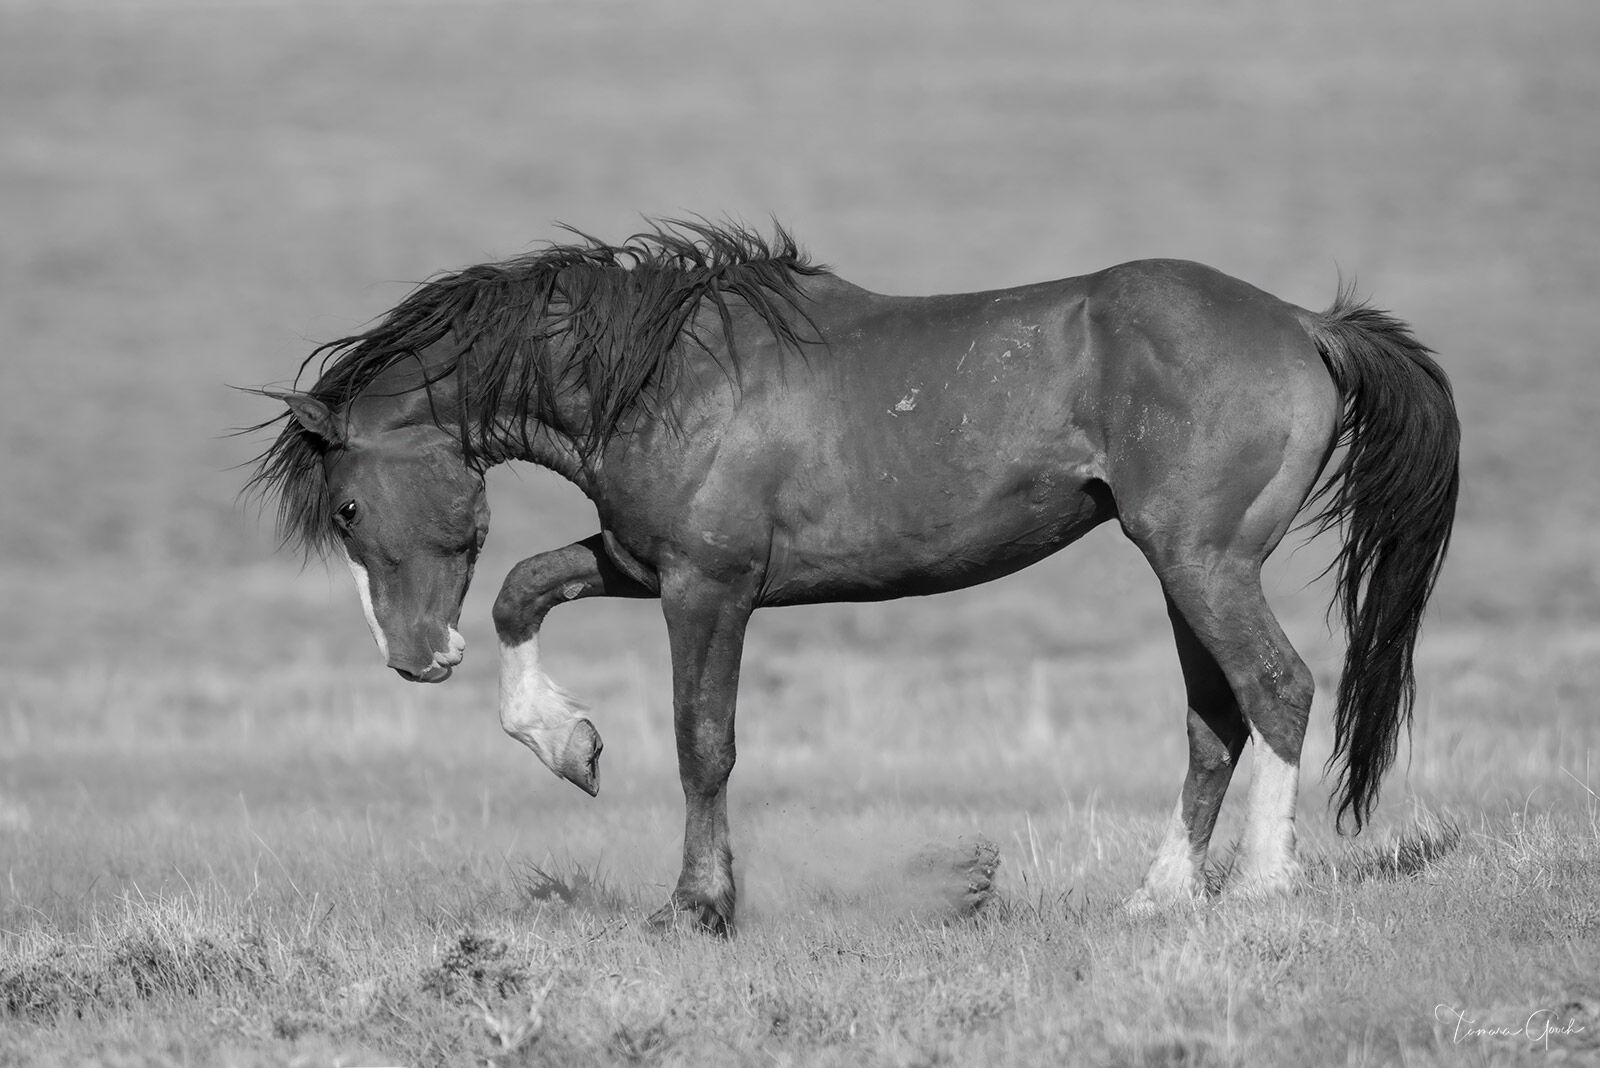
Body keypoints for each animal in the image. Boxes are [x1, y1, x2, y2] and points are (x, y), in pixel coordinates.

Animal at [246, 221, 1458, 933]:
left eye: (347, 508)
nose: (415, 660)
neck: (660, 376)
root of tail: (1302, 324)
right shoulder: (644, 561)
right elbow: (522, 590)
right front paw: (566, 742)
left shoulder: (708, 586)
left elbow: (704, 746)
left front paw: (696, 909)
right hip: (1178, 570)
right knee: (1214, 716)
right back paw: (1156, 898)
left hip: (1203, 562)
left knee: (1276, 690)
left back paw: (1262, 888)